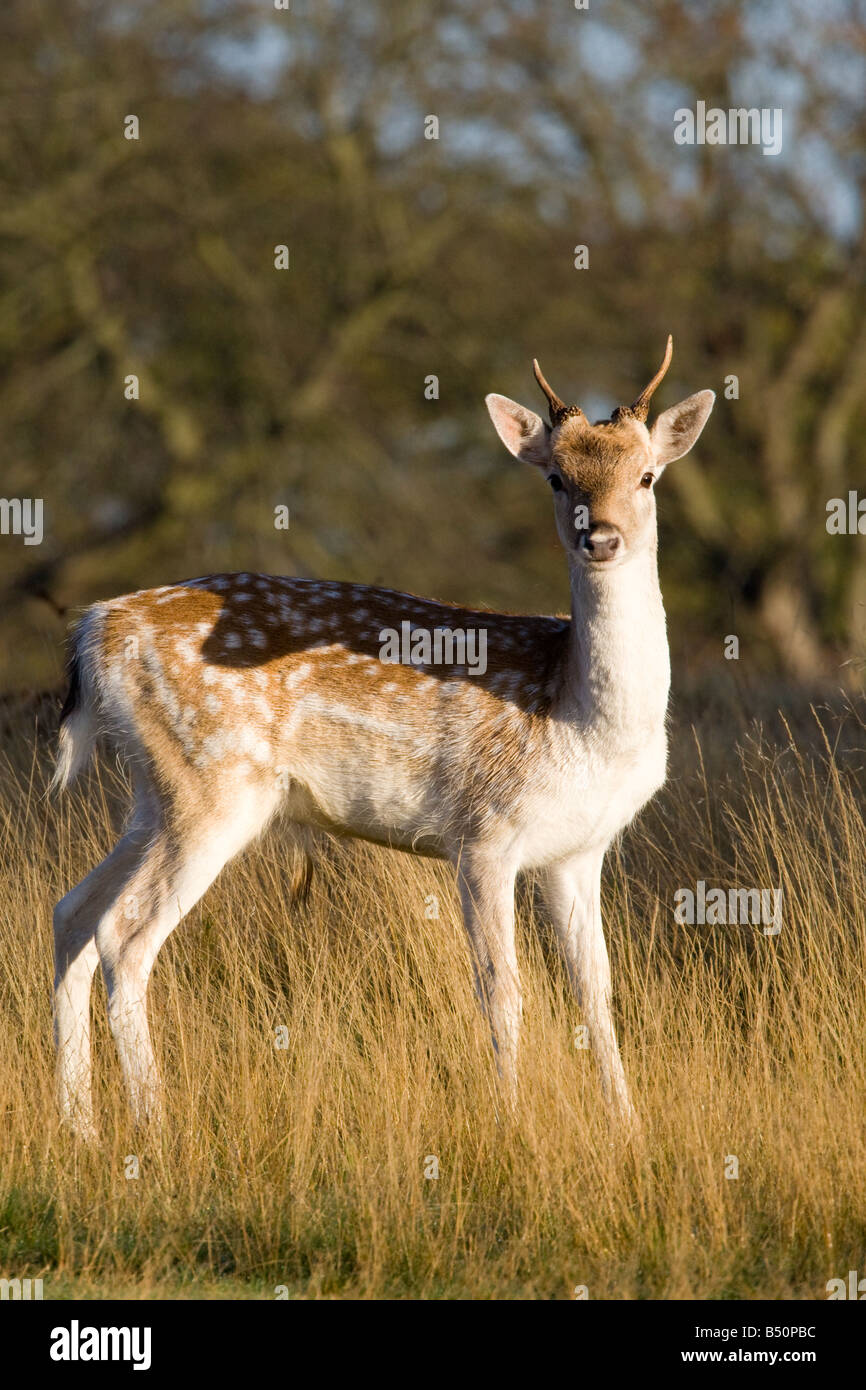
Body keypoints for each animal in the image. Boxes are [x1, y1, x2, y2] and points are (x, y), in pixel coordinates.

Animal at [51, 337, 714, 1140]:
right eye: (557, 477)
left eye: (646, 475)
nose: (602, 537)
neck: (580, 717)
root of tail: (93, 630)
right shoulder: (483, 832)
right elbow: (501, 990)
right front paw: (511, 1124)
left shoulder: (578, 852)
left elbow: (597, 994)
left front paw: (628, 1130)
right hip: (214, 785)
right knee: (124, 935)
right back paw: (156, 1126)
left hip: (156, 793)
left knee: (72, 915)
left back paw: (80, 1129)